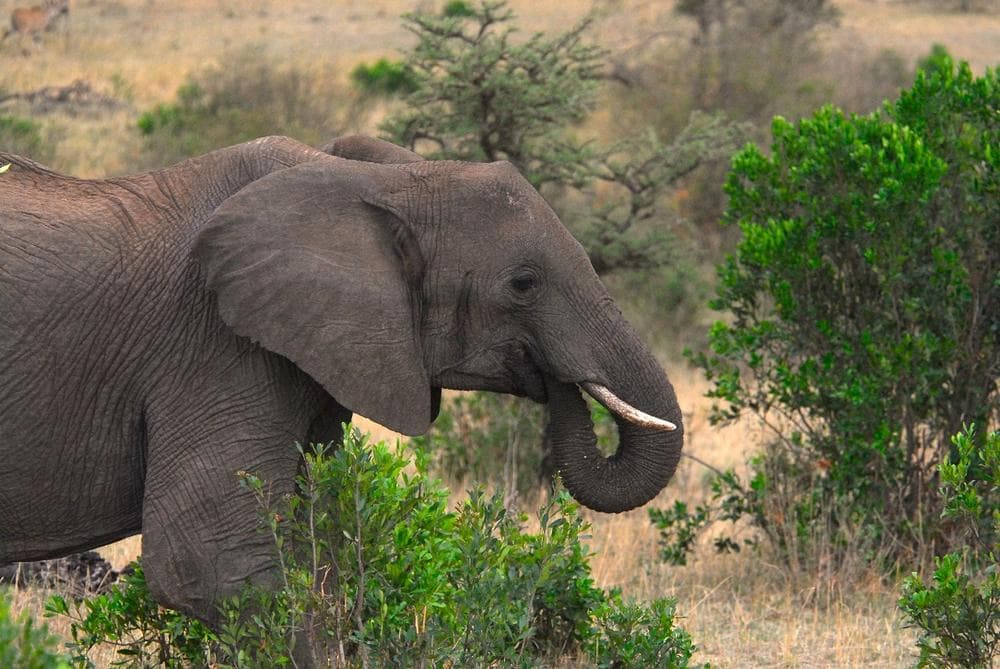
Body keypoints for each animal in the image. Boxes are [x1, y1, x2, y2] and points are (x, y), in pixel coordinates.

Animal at [0, 134, 683, 628]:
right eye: (523, 284)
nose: (559, 379)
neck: (377, 181)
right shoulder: (213, 348)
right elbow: (214, 569)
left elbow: (317, 546)